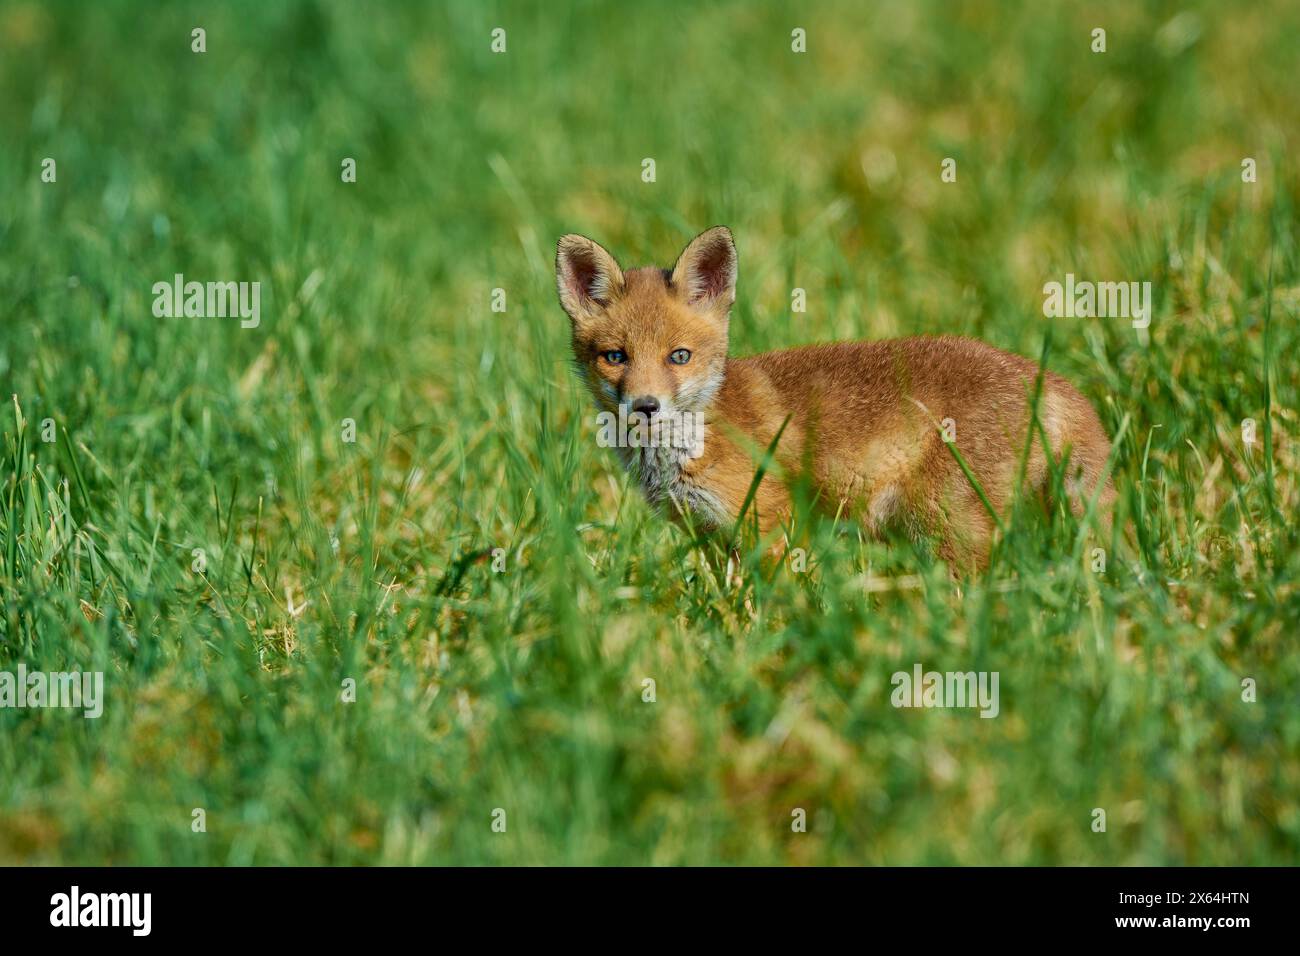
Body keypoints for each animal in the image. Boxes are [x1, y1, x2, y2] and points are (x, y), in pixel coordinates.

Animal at [555, 226, 1115, 570]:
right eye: (615, 357)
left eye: (679, 356)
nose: (646, 407)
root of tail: (1044, 377)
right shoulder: (709, 534)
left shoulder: (769, 520)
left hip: (945, 522)